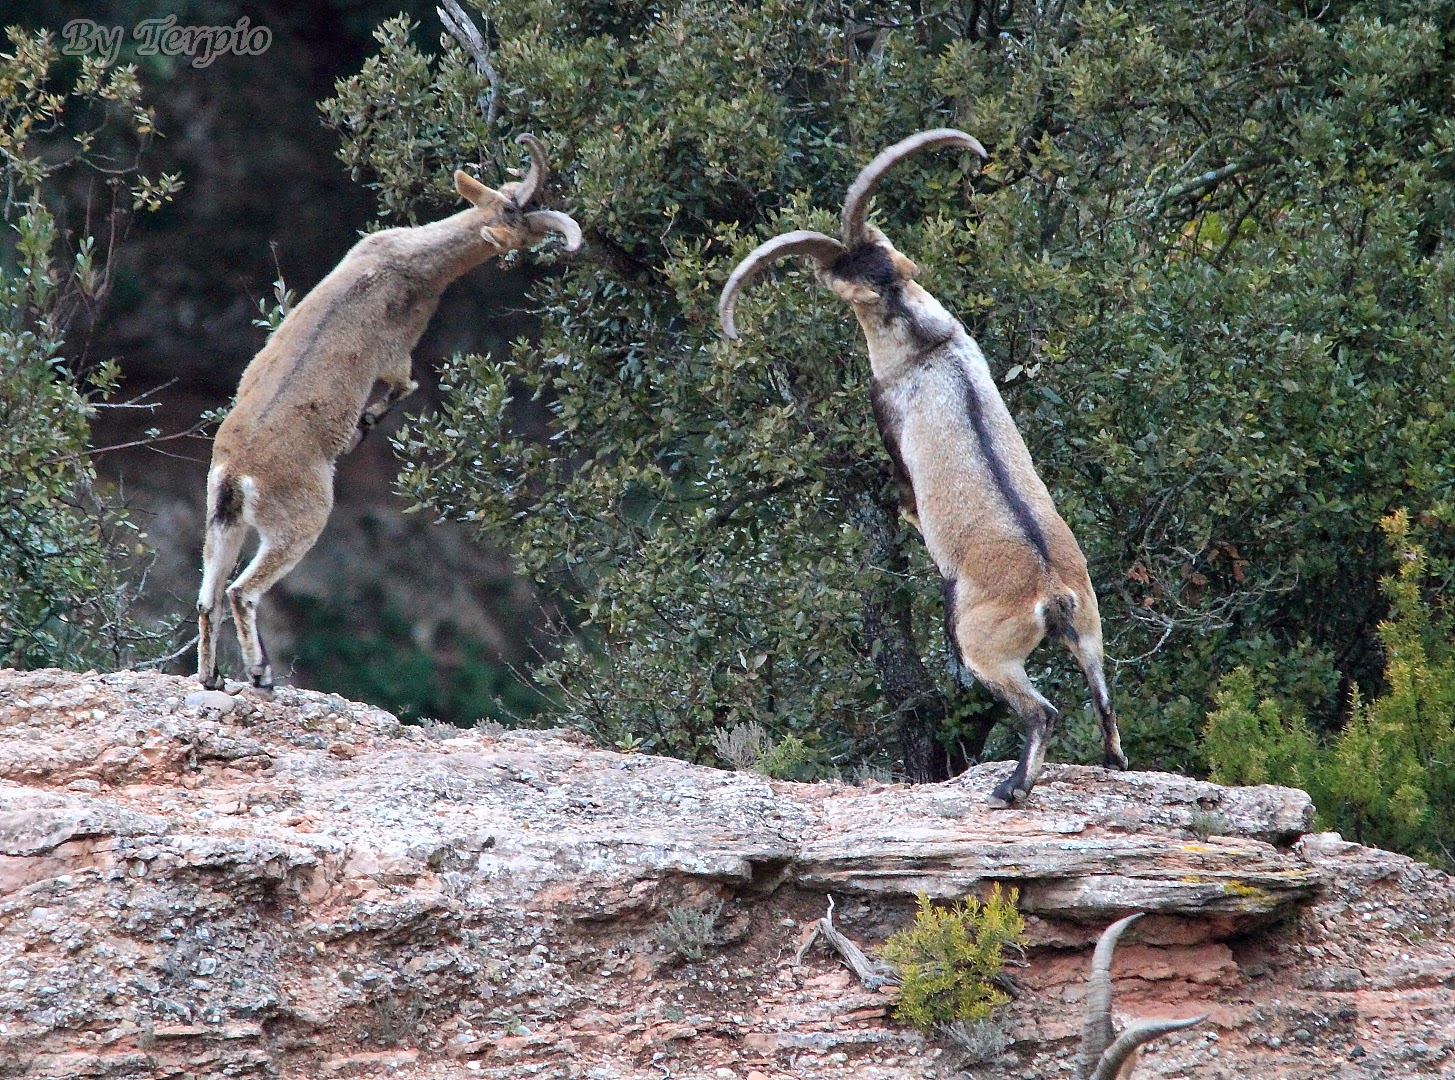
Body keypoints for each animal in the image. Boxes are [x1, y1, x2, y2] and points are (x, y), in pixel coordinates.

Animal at [196, 134, 581, 693]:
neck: (413, 265)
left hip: (222, 520)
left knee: (208, 596)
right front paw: (363, 426)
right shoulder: (397, 353)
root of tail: (238, 474)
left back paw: (209, 677)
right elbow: (406, 386)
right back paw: (261, 674)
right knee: (240, 591)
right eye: (521, 221)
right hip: (299, 520)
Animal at [718, 129, 1125, 807]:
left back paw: (1010, 787)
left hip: (985, 648)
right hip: (1090, 624)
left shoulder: (888, 424)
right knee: (1103, 697)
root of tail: (1051, 592)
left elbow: (902, 492)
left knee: (1042, 710)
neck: (926, 347)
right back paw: (1110, 762)